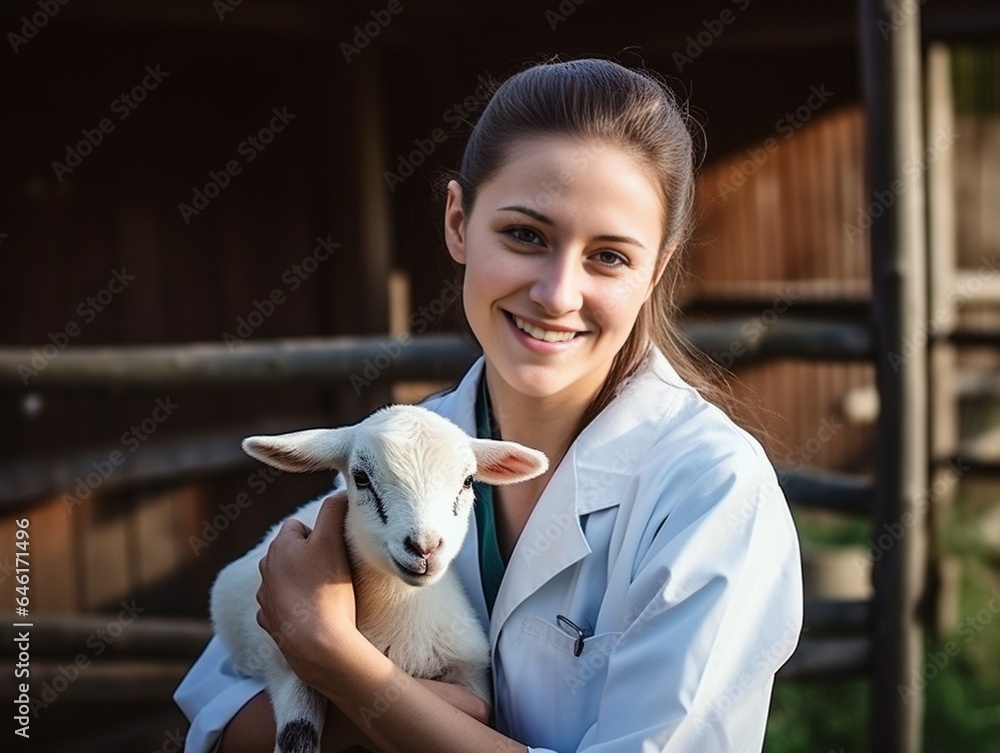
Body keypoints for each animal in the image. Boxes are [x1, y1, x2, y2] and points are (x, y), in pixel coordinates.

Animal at [209, 403, 548, 753]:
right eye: (361, 478)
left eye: (468, 481)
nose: (424, 547)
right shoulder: (286, 661)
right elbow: (298, 733)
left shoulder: (470, 674)